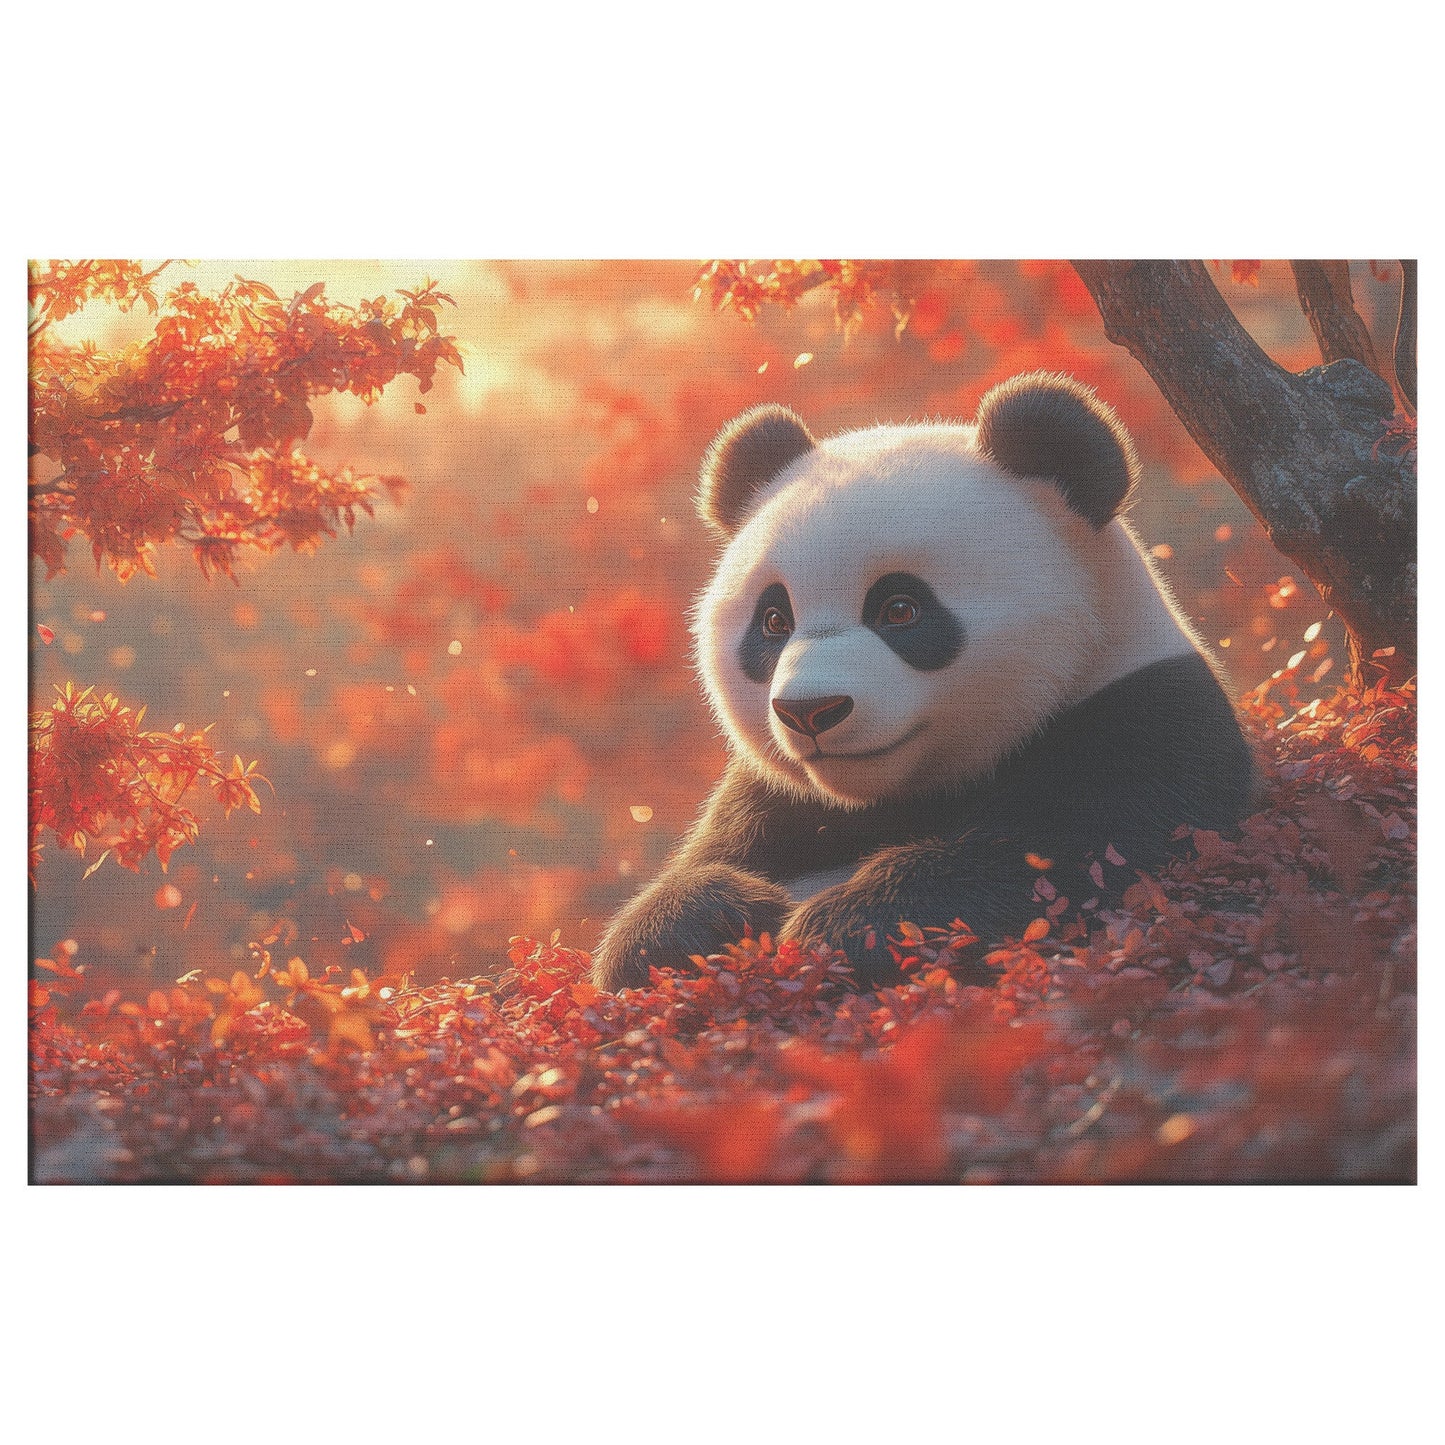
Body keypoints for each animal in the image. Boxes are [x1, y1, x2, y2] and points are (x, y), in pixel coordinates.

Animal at [591, 371, 1255, 992]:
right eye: (775, 621)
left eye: (900, 609)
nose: (810, 711)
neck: (888, 799)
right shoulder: (773, 802)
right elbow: (677, 891)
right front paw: (714, 918)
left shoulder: (1143, 718)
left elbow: (1061, 856)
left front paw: (842, 926)